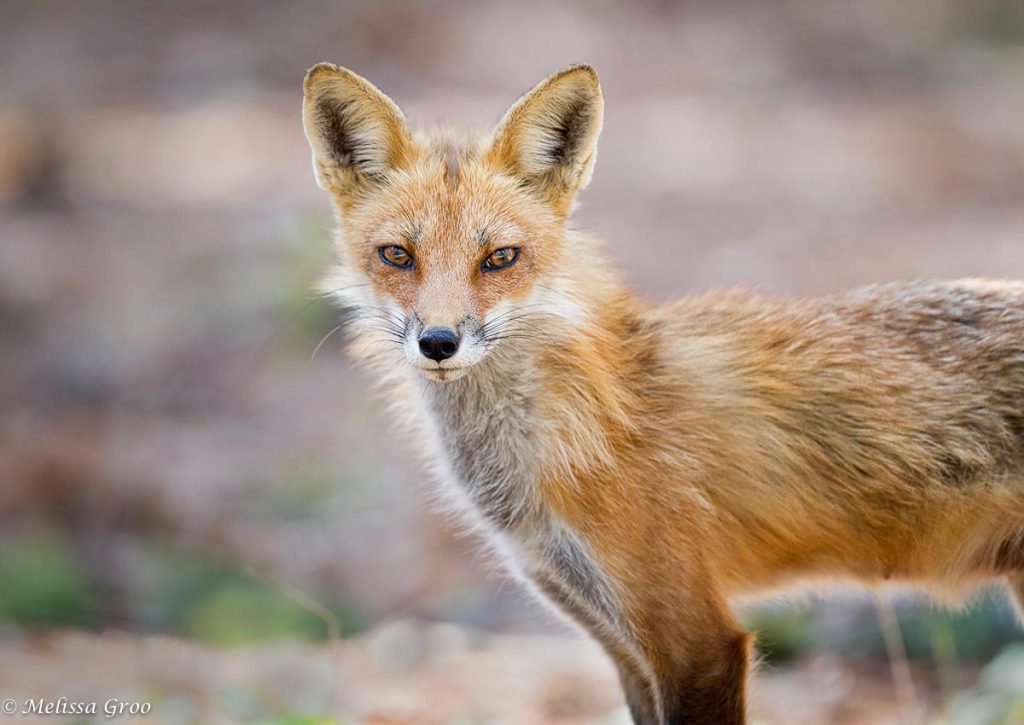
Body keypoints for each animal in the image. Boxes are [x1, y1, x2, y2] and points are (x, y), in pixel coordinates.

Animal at [300, 62, 1024, 724]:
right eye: (397, 255)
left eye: (500, 258)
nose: (439, 342)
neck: (570, 439)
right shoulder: (620, 640)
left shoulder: (697, 642)